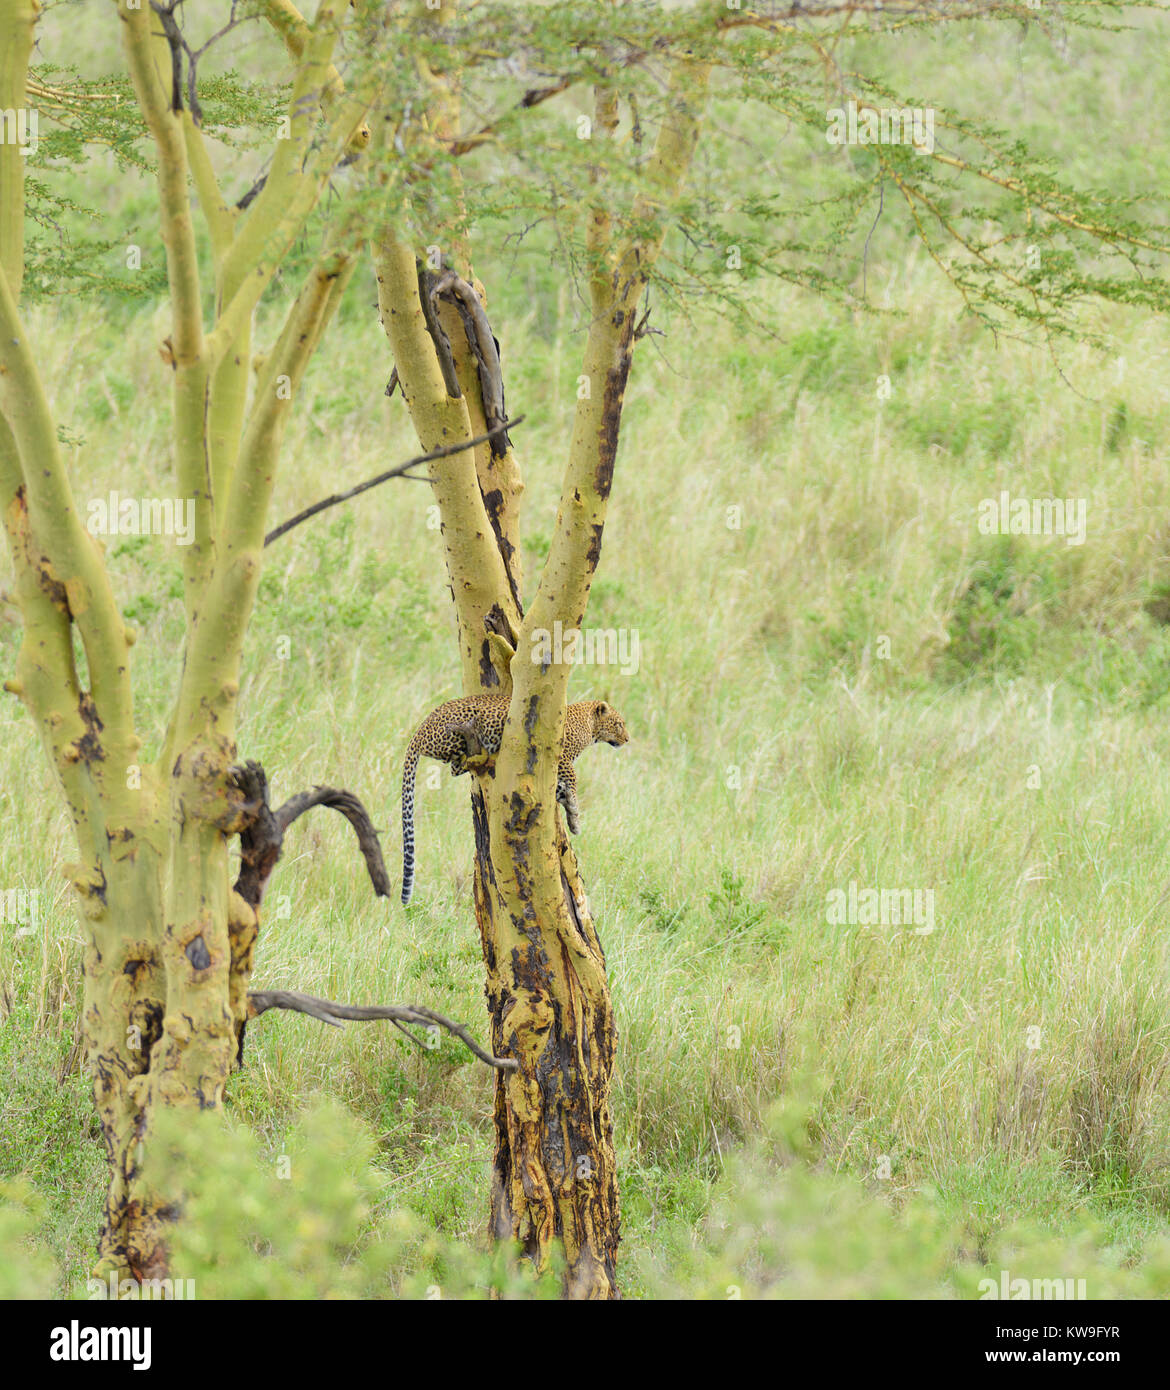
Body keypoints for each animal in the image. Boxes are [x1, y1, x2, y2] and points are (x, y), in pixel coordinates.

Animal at [400, 695, 629, 905]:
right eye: (619, 724)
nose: (627, 739)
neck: (589, 726)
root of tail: (421, 729)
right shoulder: (561, 756)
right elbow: (573, 780)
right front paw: (573, 814)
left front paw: (564, 800)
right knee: (456, 766)